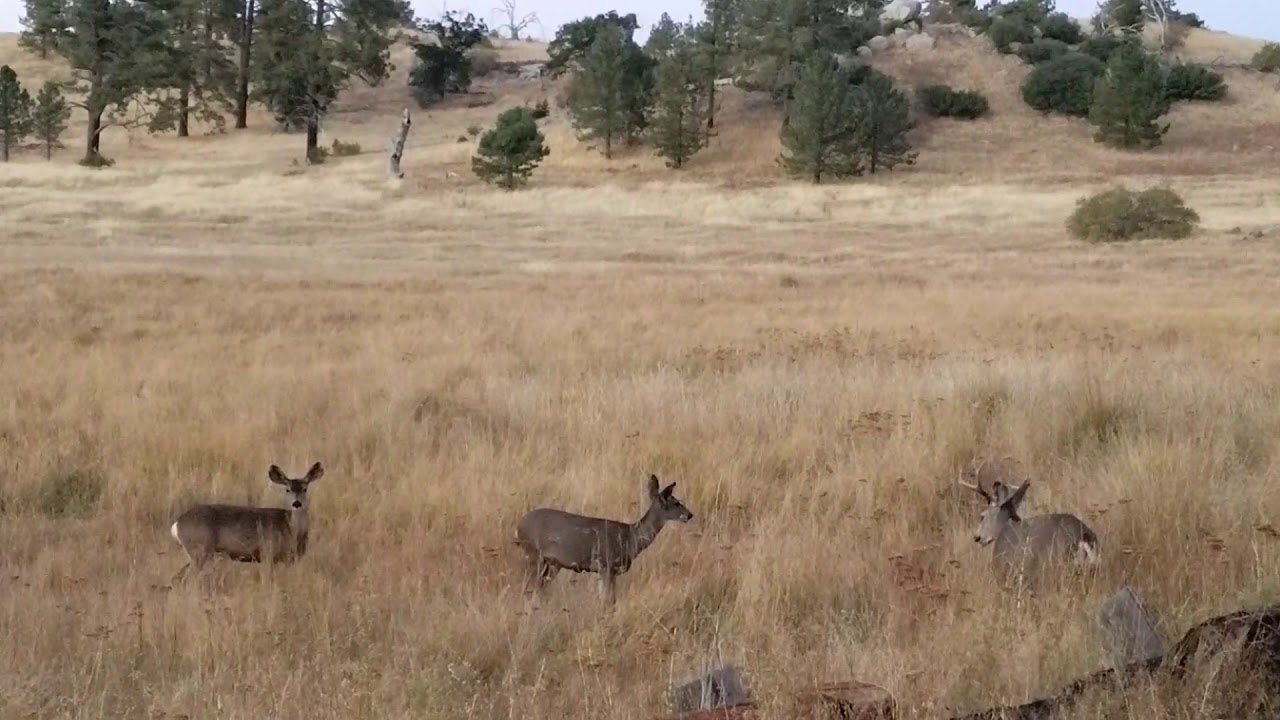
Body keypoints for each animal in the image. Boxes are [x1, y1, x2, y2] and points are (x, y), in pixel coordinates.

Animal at [168, 462, 324, 583]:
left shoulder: (290, 560)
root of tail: (177, 524)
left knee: (177, 577)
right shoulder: (267, 552)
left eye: (305, 489)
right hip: (200, 549)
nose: (296, 503)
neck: (290, 530)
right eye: (287, 489)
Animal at [515, 473, 694, 607]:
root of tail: (518, 526)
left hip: (552, 563)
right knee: (529, 587)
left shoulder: (605, 570)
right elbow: (609, 601)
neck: (631, 538)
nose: (690, 515)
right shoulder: (607, 565)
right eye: (676, 503)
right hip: (533, 554)